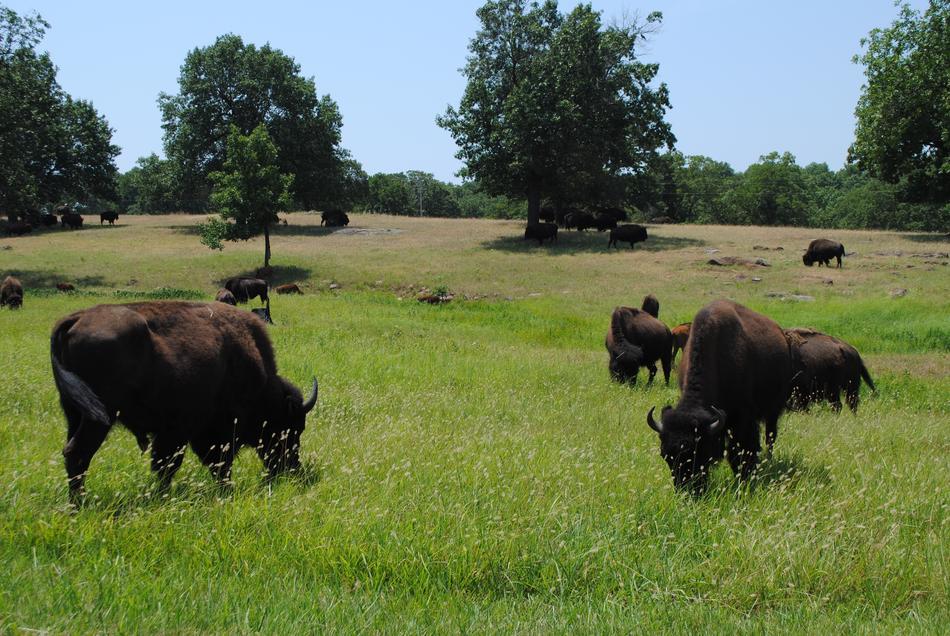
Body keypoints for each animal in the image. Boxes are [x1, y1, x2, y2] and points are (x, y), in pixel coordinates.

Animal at [50, 301, 318, 502]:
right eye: (291, 428)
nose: (291, 468)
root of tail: (76, 318)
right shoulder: (194, 431)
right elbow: (195, 464)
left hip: (74, 413)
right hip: (98, 418)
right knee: (78, 453)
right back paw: (80, 505)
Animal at [646, 300, 792, 494]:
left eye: (699, 452)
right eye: (666, 455)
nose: (687, 490)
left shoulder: (743, 419)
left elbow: (741, 451)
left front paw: (745, 478)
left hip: (773, 411)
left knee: (770, 435)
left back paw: (768, 460)